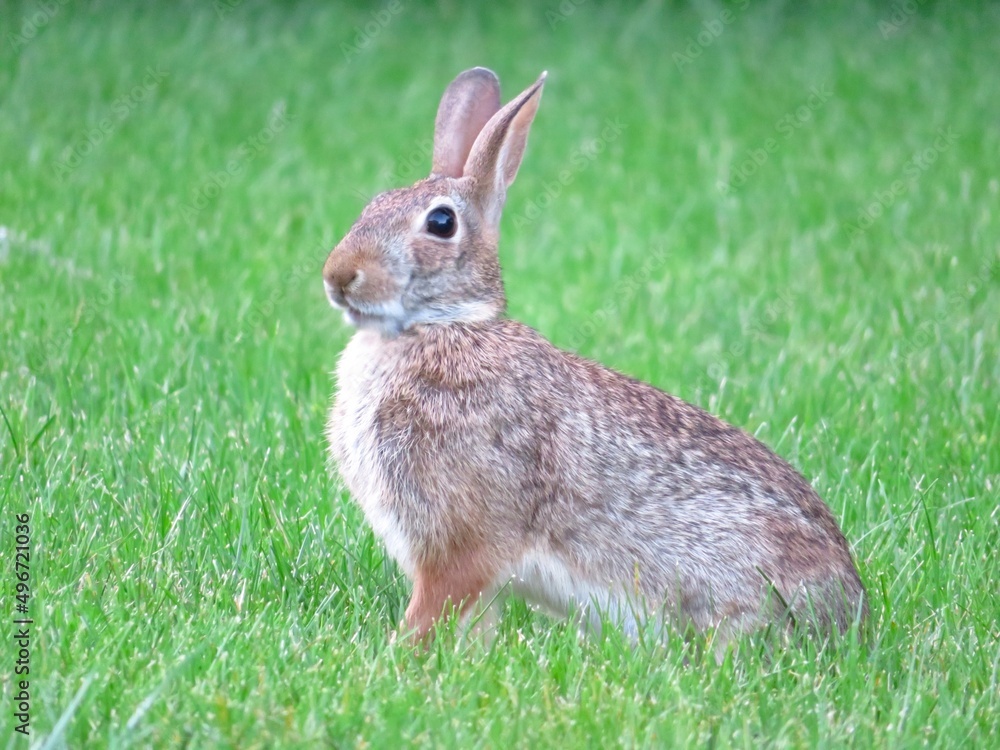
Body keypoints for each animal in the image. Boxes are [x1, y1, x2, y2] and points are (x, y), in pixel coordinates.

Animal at [322, 67, 867, 650]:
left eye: (441, 223)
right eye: (375, 203)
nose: (338, 275)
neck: (441, 326)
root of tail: (852, 614)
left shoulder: (459, 542)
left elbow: (434, 606)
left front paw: (398, 654)